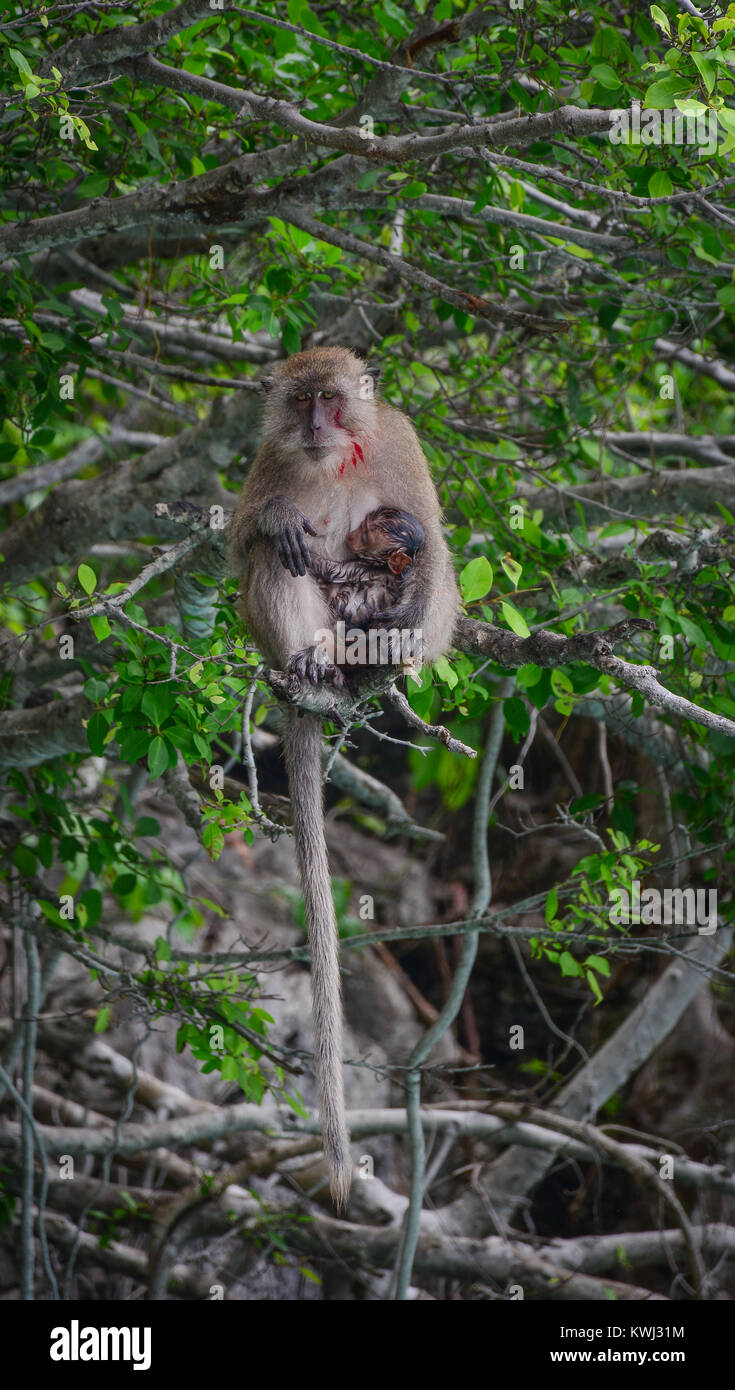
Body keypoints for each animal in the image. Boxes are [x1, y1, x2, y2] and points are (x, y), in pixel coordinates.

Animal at [230, 347, 459, 1209]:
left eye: (331, 398)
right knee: (277, 562)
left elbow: (434, 550)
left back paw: (380, 662)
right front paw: (274, 522)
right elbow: (250, 537)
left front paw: (406, 599)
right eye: (301, 402)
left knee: (427, 585)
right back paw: (310, 666)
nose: (316, 425)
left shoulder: (401, 446)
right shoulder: (272, 463)